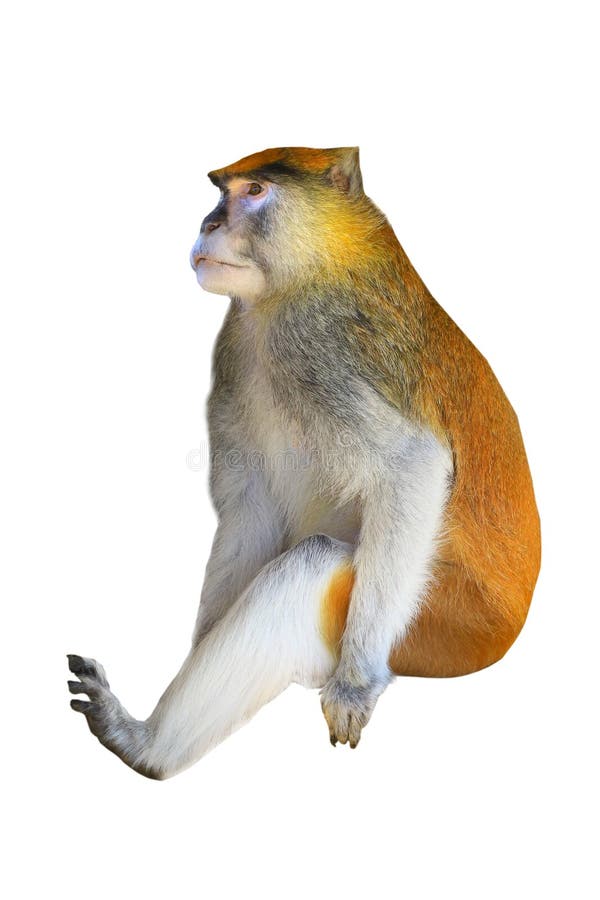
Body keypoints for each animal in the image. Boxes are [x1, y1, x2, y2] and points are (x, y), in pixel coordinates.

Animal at [67, 146, 541, 780]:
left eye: (255, 191)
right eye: (222, 192)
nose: (208, 224)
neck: (314, 268)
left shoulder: (318, 343)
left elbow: (411, 465)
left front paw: (354, 688)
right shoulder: (237, 352)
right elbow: (252, 508)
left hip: (436, 627)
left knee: (313, 564)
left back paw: (144, 747)